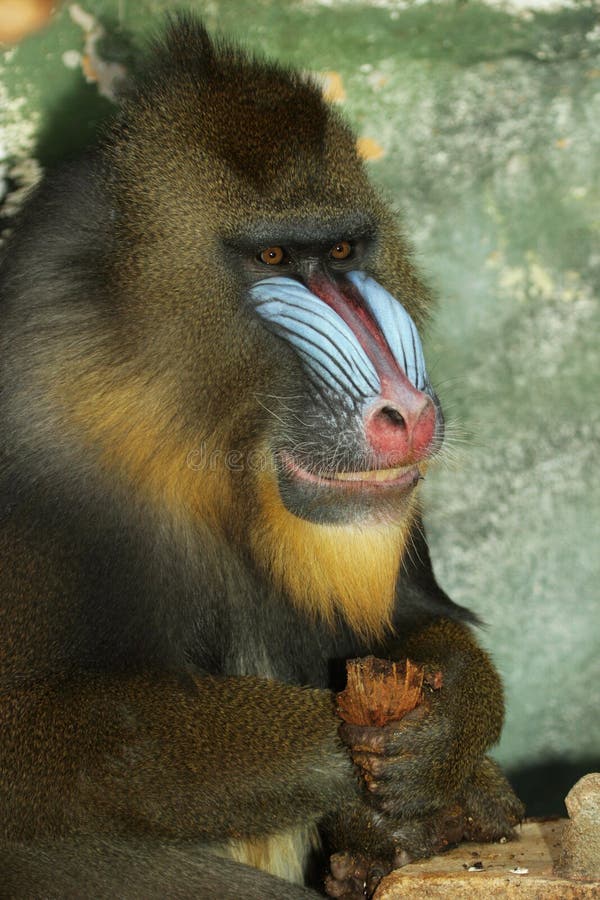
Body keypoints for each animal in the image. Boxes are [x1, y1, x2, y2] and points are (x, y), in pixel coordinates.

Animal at [0, 16, 523, 899]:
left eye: (344, 250)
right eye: (274, 259)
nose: (406, 415)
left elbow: (416, 624)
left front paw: (449, 733)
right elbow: (46, 744)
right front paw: (346, 756)